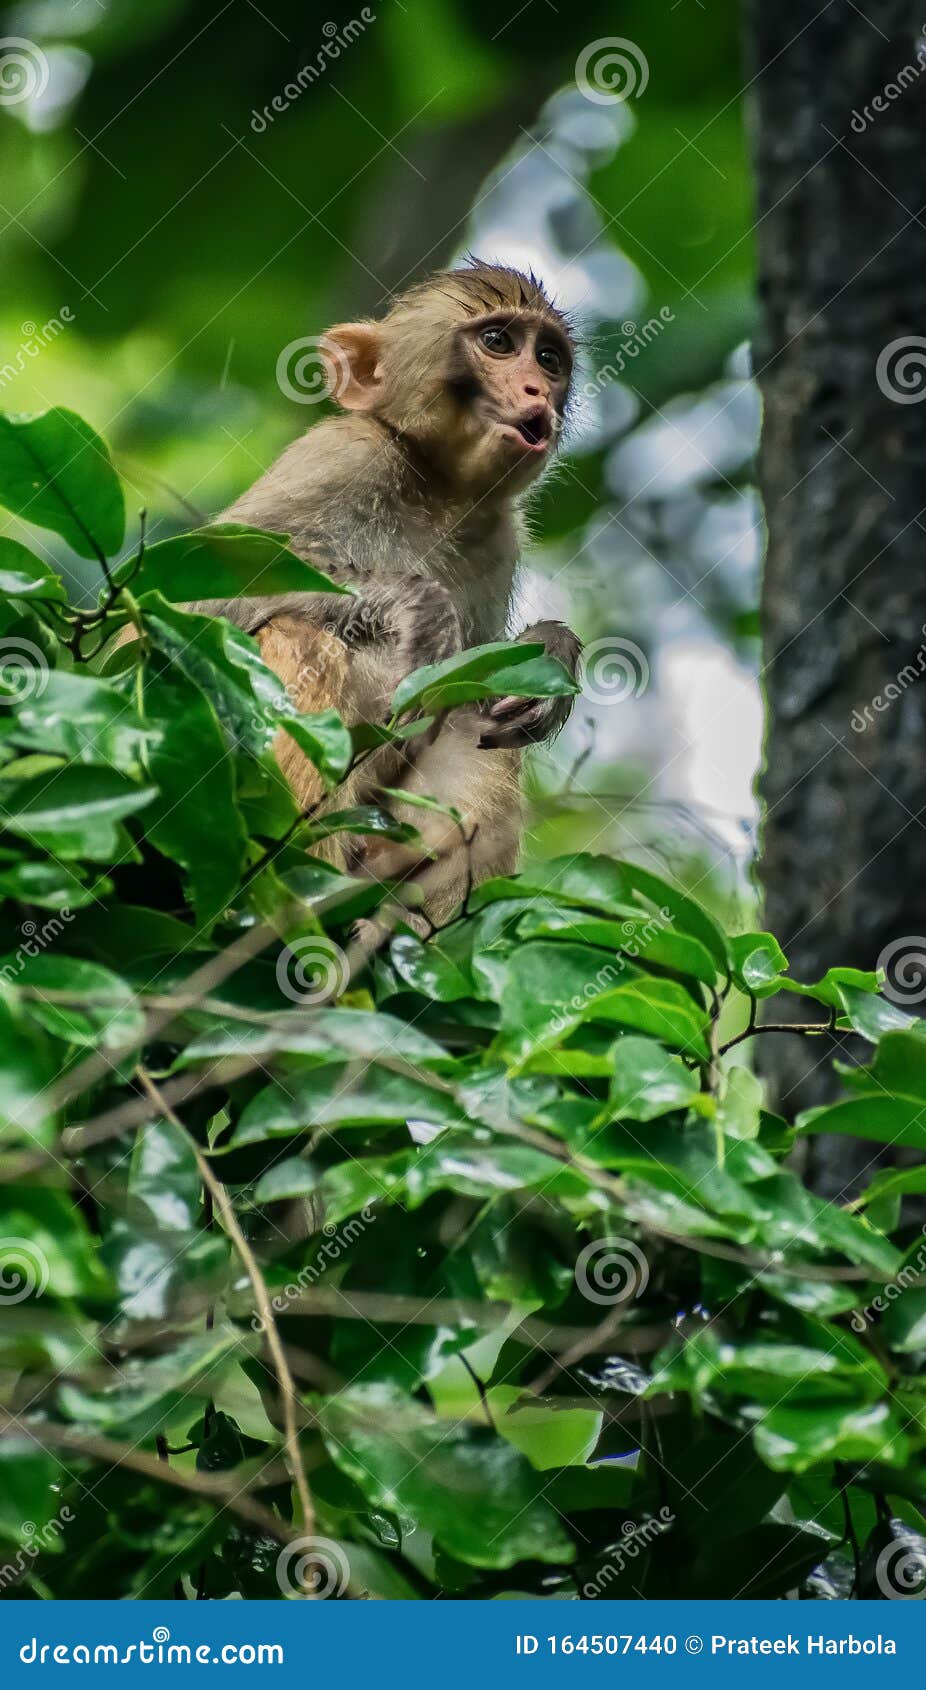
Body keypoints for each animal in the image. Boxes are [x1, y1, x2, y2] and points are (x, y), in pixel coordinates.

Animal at [189, 262, 583, 936]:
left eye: (549, 358)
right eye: (498, 342)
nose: (537, 389)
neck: (436, 490)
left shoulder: (498, 538)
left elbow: (477, 680)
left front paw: (551, 651)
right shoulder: (341, 455)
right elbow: (186, 605)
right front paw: (411, 602)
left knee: (473, 720)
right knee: (298, 639)